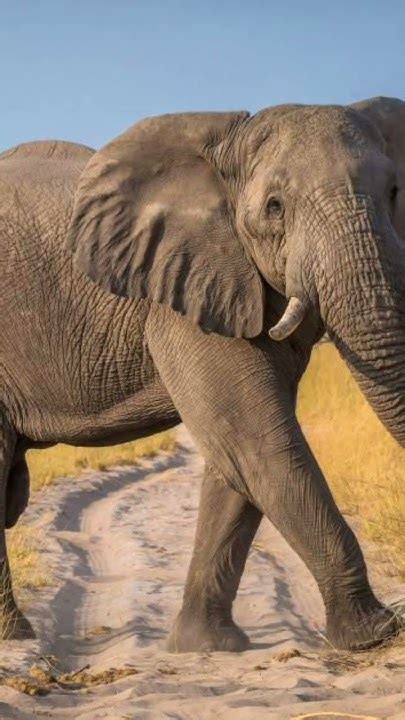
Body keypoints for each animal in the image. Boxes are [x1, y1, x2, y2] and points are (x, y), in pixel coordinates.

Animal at [0, 97, 404, 652]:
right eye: (274, 207)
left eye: (395, 193)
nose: (388, 624)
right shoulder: (179, 294)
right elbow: (258, 440)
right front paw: (375, 634)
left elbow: (236, 455)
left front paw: (206, 647)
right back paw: (17, 637)